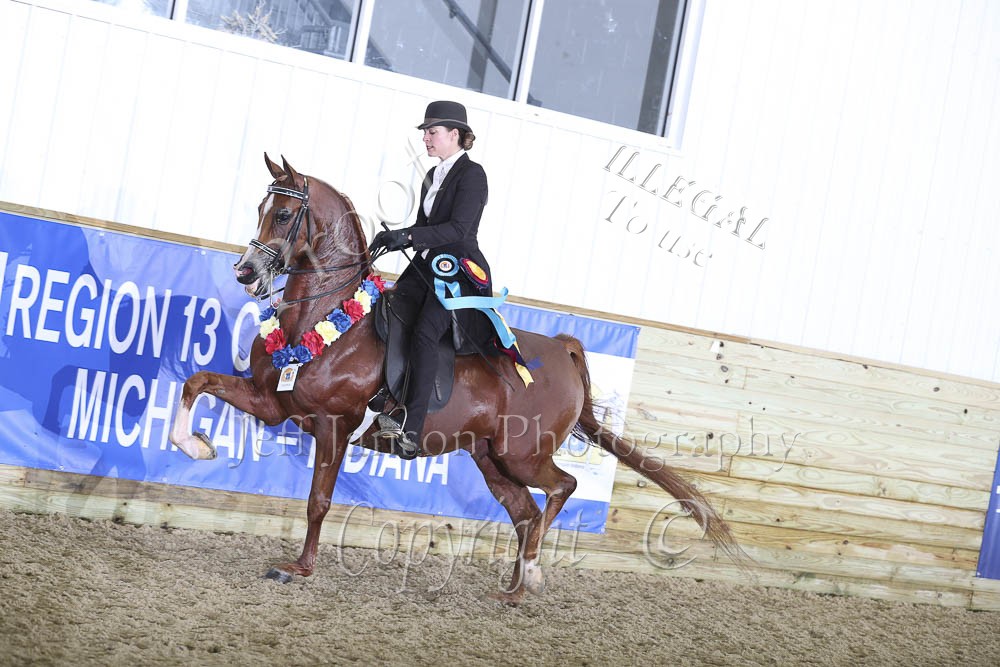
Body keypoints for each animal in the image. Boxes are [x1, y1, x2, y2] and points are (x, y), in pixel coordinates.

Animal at [169, 154, 740, 604]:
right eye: (259, 210)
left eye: (285, 214)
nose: (245, 273)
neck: (324, 315)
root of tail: (562, 348)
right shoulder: (274, 404)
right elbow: (197, 382)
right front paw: (195, 446)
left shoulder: (334, 424)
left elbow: (318, 501)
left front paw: (299, 568)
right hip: (491, 459)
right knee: (526, 511)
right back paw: (513, 589)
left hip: (521, 453)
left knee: (563, 486)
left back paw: (532, 573)